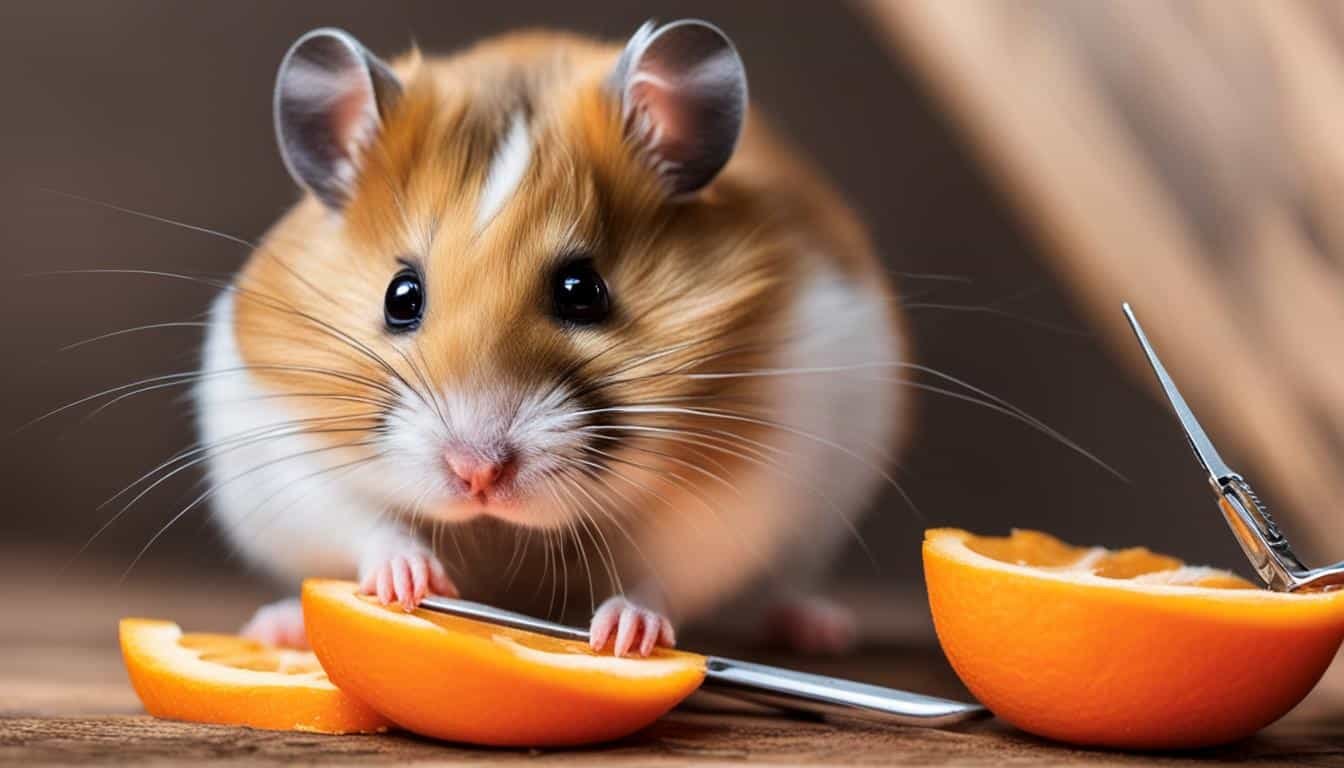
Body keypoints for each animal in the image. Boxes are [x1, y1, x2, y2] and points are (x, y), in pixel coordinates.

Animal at [195, 20, 904, 657]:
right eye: (401, 297)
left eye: (582, 290)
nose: (476, 474)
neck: (503, 532)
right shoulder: (281, 449)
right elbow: (367, 525)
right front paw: (413, 585)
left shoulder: (733, 496)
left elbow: (657, 576)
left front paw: (624, 638)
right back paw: (275, 627)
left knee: (782, 586)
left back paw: (819, 630)